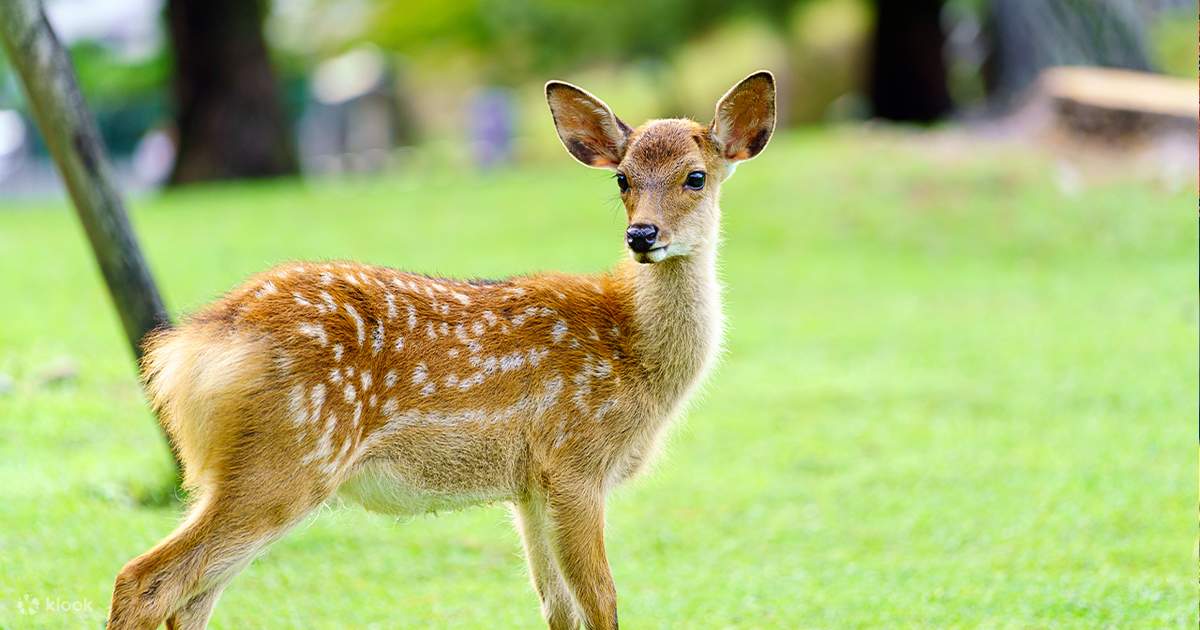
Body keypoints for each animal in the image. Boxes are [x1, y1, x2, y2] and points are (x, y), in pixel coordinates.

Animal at [107, 71, 775, 630]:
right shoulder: (574, 461)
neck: (635, 352)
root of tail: (191, 347)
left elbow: (559, 609)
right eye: (623, 178)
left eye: (696, 176)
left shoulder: (530, 487)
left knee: (191, 597)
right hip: (290, 455)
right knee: (145, 580)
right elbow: (602, 602)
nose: (641, 235)